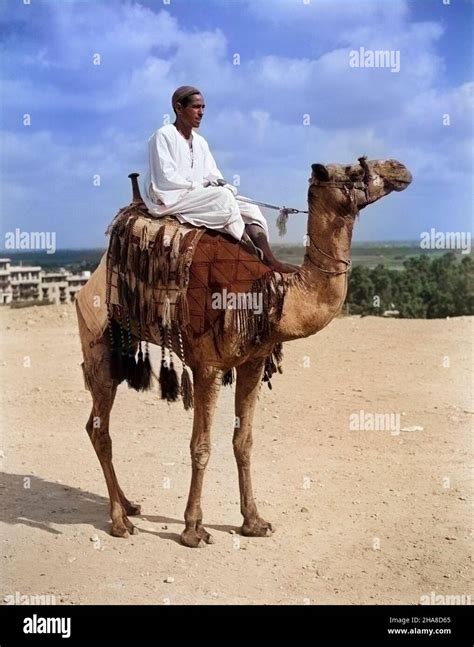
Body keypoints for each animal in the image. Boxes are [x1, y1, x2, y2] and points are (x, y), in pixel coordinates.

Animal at [75, 156, 412, 546]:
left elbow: (244, 441)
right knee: (100, 429)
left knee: (95, 425)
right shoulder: (207, 365)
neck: (274, 292)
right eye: (356, 168)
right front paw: (193, 529)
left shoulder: (253, 361)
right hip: (98, 340)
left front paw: (254, 521)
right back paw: (119, 521)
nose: (399, 168)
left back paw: (129, 505)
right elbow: (201, 446)